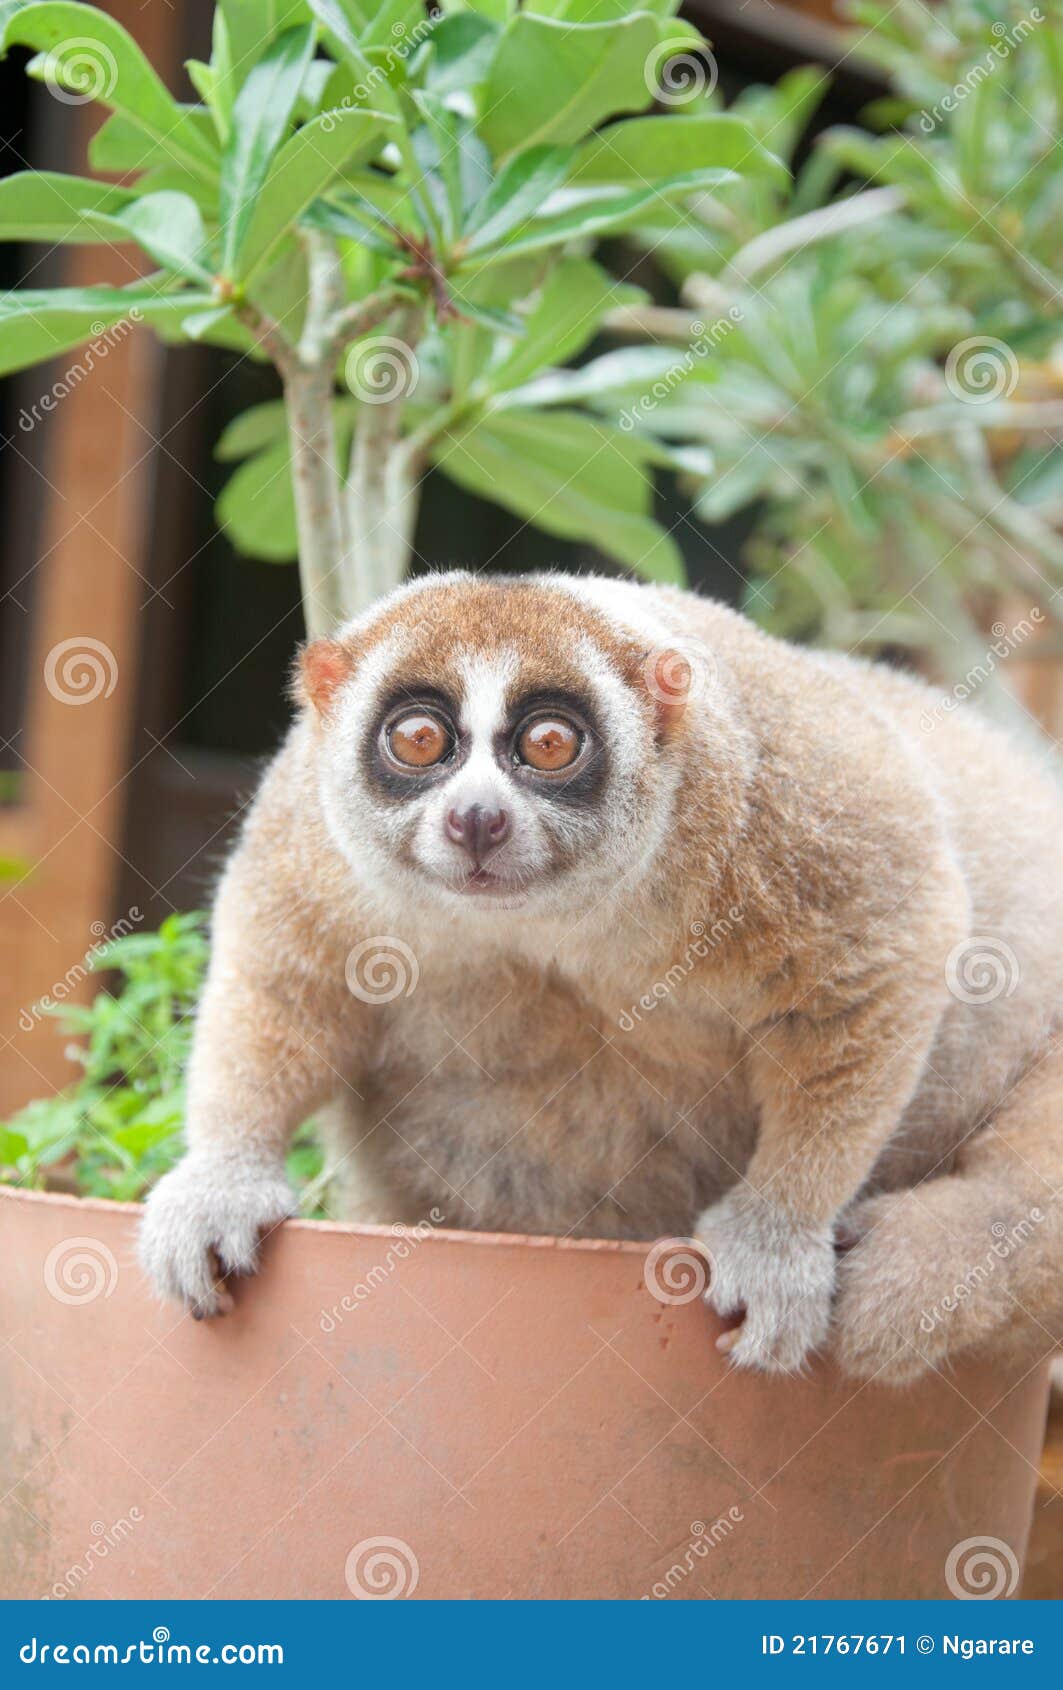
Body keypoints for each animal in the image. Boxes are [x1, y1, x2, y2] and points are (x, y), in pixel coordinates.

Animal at [139, 571, 1063, 1384]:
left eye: (548, 744)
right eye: (418, 739)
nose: (476, 817)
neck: (548, 925)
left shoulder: (780, 795)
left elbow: (886, 947)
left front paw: (775, 1236)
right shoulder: (307, 828)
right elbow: (285, 980)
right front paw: (221, 1184)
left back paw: (914, 1277)